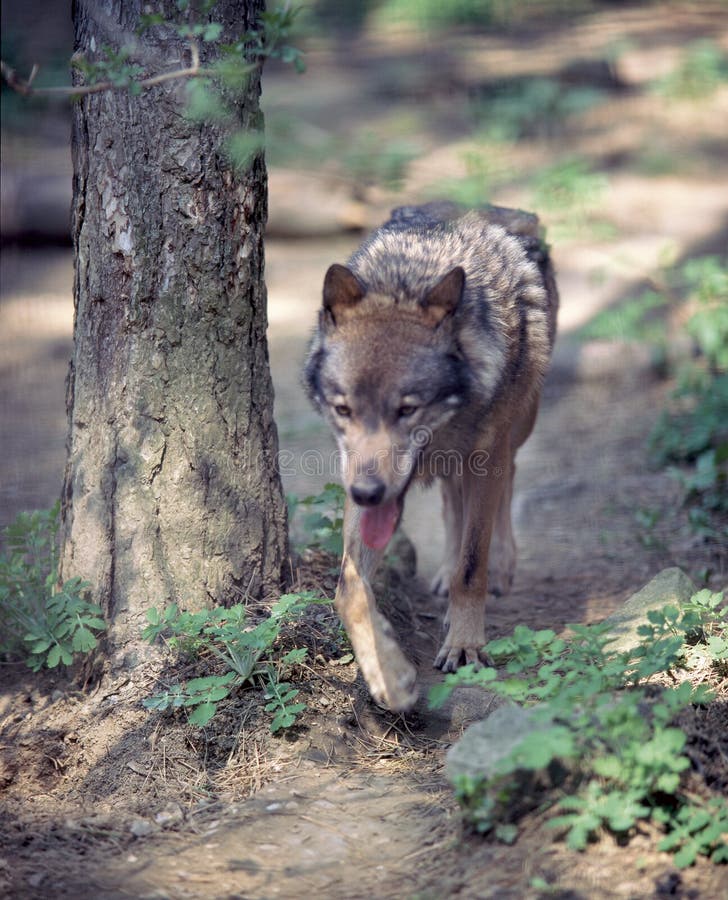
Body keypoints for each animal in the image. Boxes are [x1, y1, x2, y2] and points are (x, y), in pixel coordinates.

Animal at [303, 202, 558, 711]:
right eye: (344, 409)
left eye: (407, 408)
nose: (367, 492)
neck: (407, 278)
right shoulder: (356, 478)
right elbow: (349, 590)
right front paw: (390, 678)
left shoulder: (485, 454)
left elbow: (471, 568)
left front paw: (464, 645)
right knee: (449, 501)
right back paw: (441, 575)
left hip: (516, 428)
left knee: (507, 480)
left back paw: (501, 567)